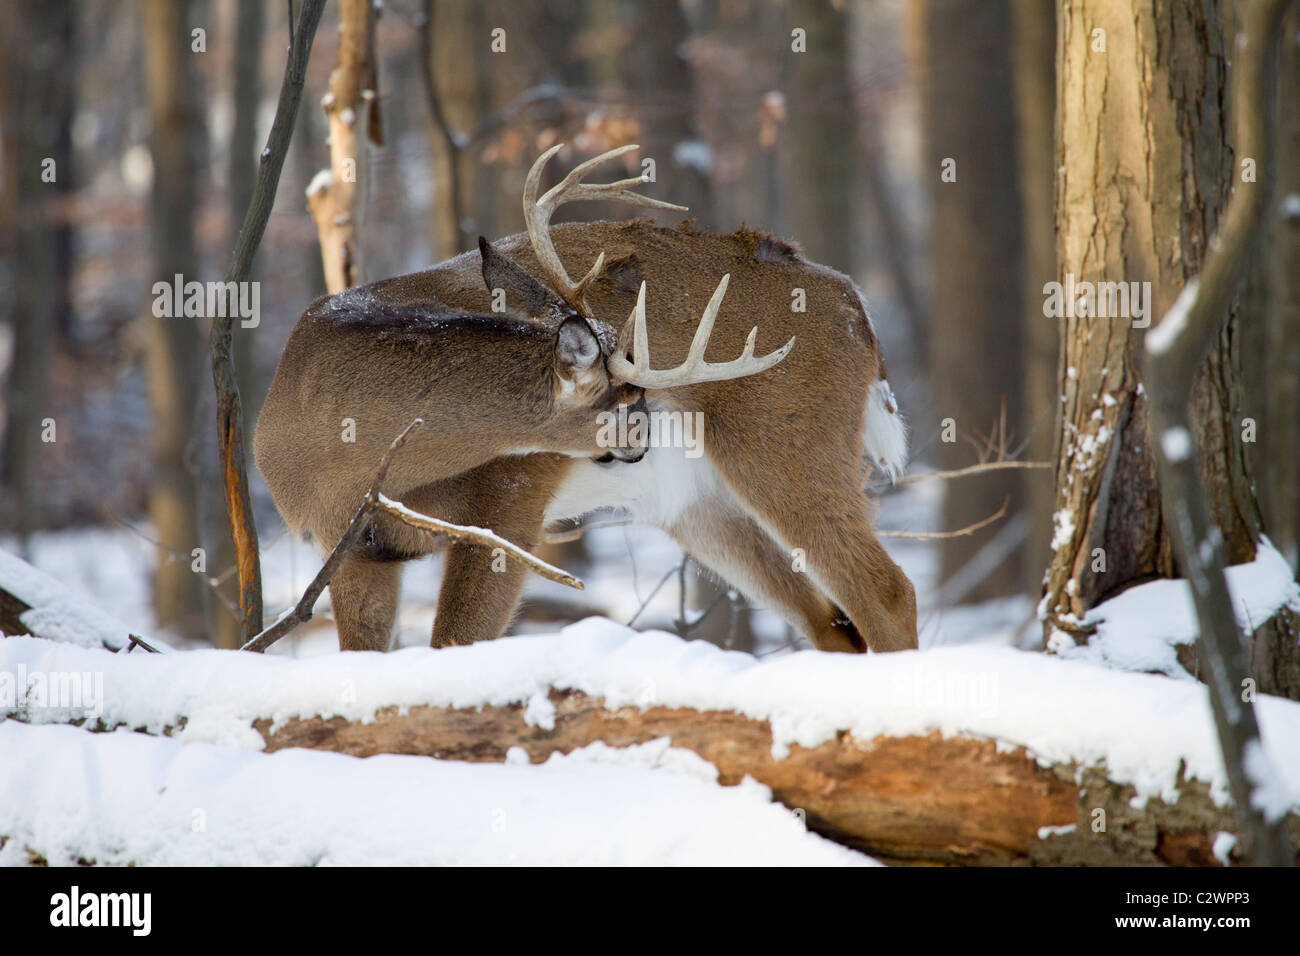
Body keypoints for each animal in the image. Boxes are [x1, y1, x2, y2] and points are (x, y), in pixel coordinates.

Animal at [254, 145, 916, 655]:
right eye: (626, 404)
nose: (649, 440)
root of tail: (856, 304)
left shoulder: (510, 498)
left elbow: (454, 642)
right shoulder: (353, 552)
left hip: (791, 446)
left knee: (887, 595)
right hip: (698, 506)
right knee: (831, 624)